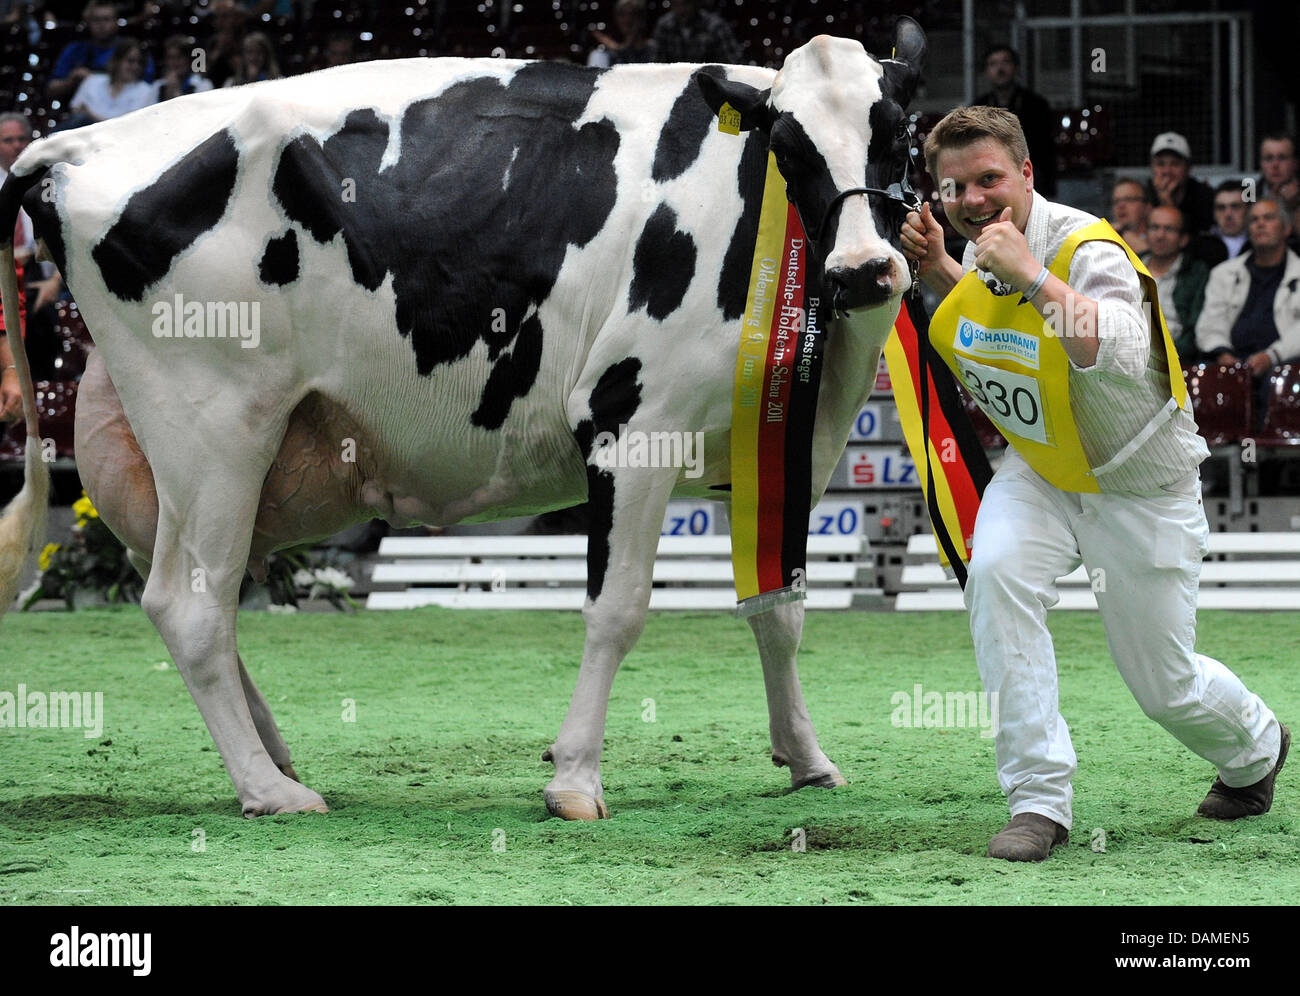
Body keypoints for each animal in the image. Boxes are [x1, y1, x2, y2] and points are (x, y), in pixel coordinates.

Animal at [0, 20, 927, 820]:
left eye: (899, 131)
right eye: (789, 145)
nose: (862, 269)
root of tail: (75, 142)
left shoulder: (781, 448)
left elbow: (780, 610)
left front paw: (807, 760)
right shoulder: (632, 419)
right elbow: (619, 608)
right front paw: (575, 780)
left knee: (193, 593)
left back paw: (274, 758)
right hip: (217, 425)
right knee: (189, 604)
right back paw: (271, 791)